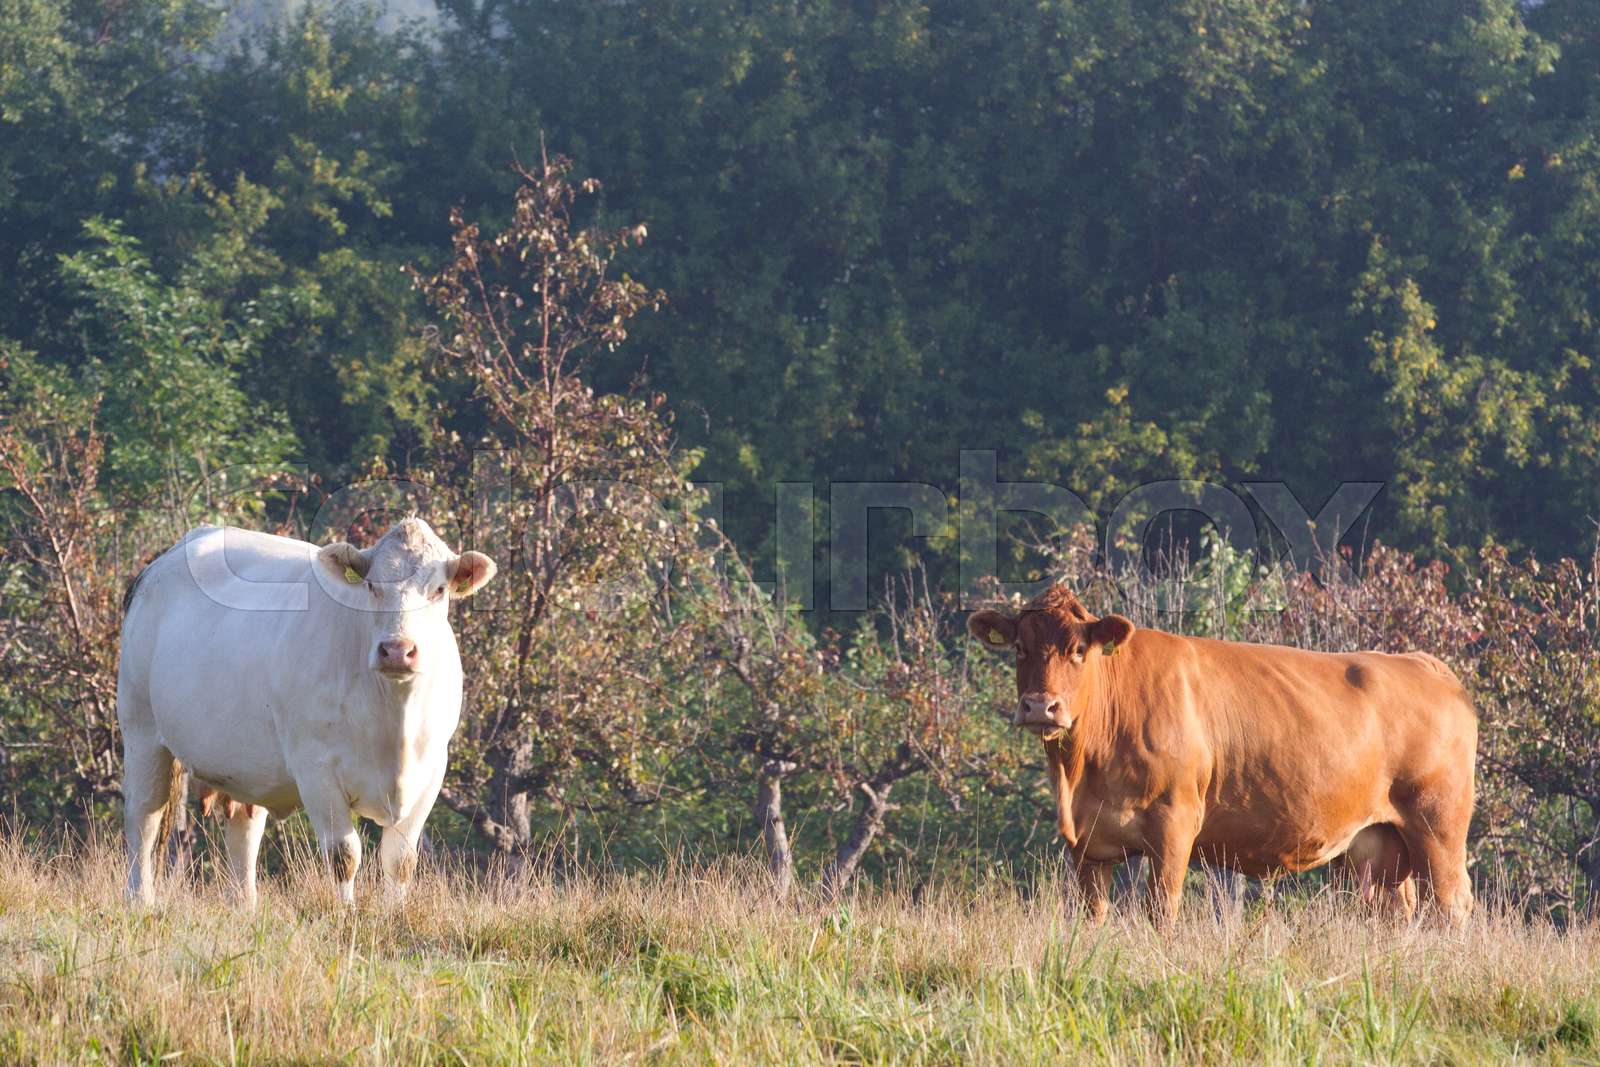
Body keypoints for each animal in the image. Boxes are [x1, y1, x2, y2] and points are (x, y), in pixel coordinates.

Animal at [117, 518, 496, 907]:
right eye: (371, 586)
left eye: (439, 589)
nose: (396, 650)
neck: (394, 722)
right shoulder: (316, 769)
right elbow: (344, 855)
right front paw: (347, 913)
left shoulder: (431, 771)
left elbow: (401, 860)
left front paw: (395, 912)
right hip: (141, 729)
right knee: (143, 818)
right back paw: (140, 900)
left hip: (245, 762)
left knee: (243, 831)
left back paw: (245, 906)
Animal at [967, 584, 1475, 925]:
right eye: (1019, 647)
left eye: (1077, 650)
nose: (1040, 706)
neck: (1081, 775)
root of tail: (1423, 664)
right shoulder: (1088, 844)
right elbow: (1092, 915)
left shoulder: (1174, 824)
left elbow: (1161, 910)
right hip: (1381, 844)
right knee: (1398, 909)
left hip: (1438, 825)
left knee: (1451, 904)